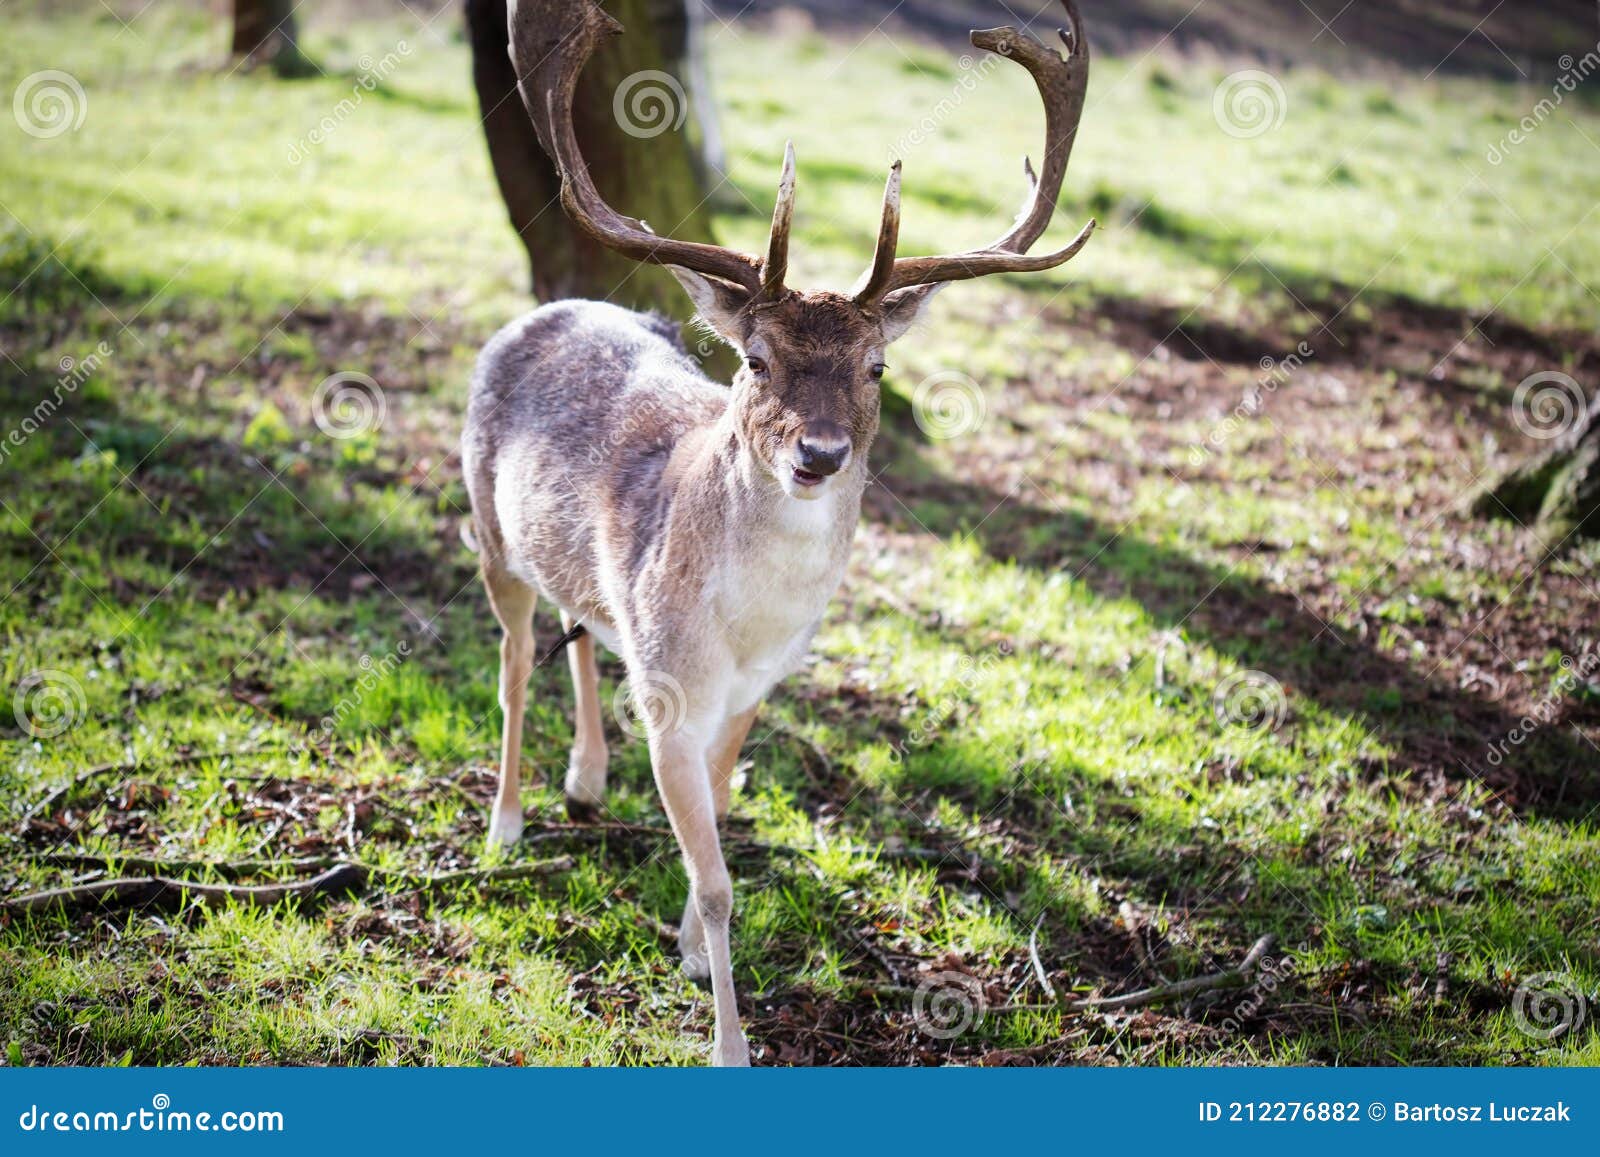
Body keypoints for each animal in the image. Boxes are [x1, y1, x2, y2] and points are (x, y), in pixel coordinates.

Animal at [462, 0, 1094, 1066]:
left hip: (573, 566)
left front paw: (682, 947)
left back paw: (586, 779)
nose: (821, 453)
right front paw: (727, 1039)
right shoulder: (673, 692)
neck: (743, 631)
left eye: (878, 368)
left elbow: (720, 814)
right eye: (756, 359)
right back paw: (506, 826)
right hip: (485, 526)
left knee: (580, 621)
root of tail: (547, 306)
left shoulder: (754, 690)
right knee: (511, 661)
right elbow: (720, 878)